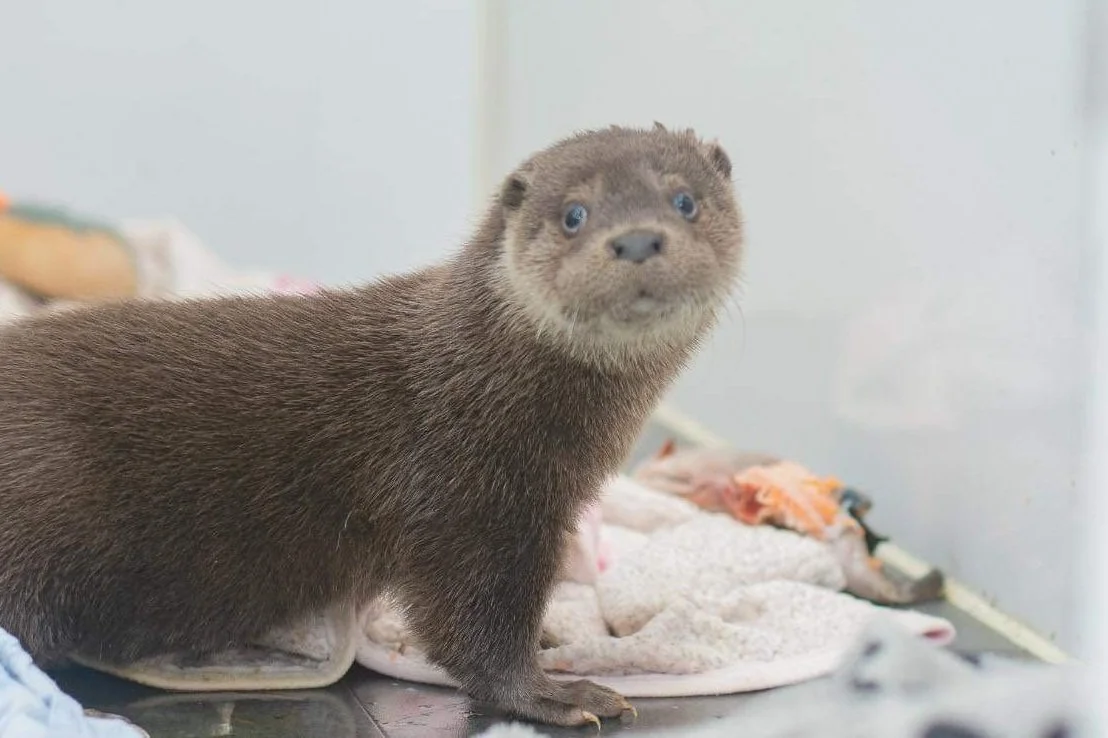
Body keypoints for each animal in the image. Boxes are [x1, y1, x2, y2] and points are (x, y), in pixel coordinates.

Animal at [0, 124, 743, 727]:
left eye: (684, 200)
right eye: (574, 215)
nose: (638, 239)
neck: (481, 381)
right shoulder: (463, 499)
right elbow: (470, 627)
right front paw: (557, 694)